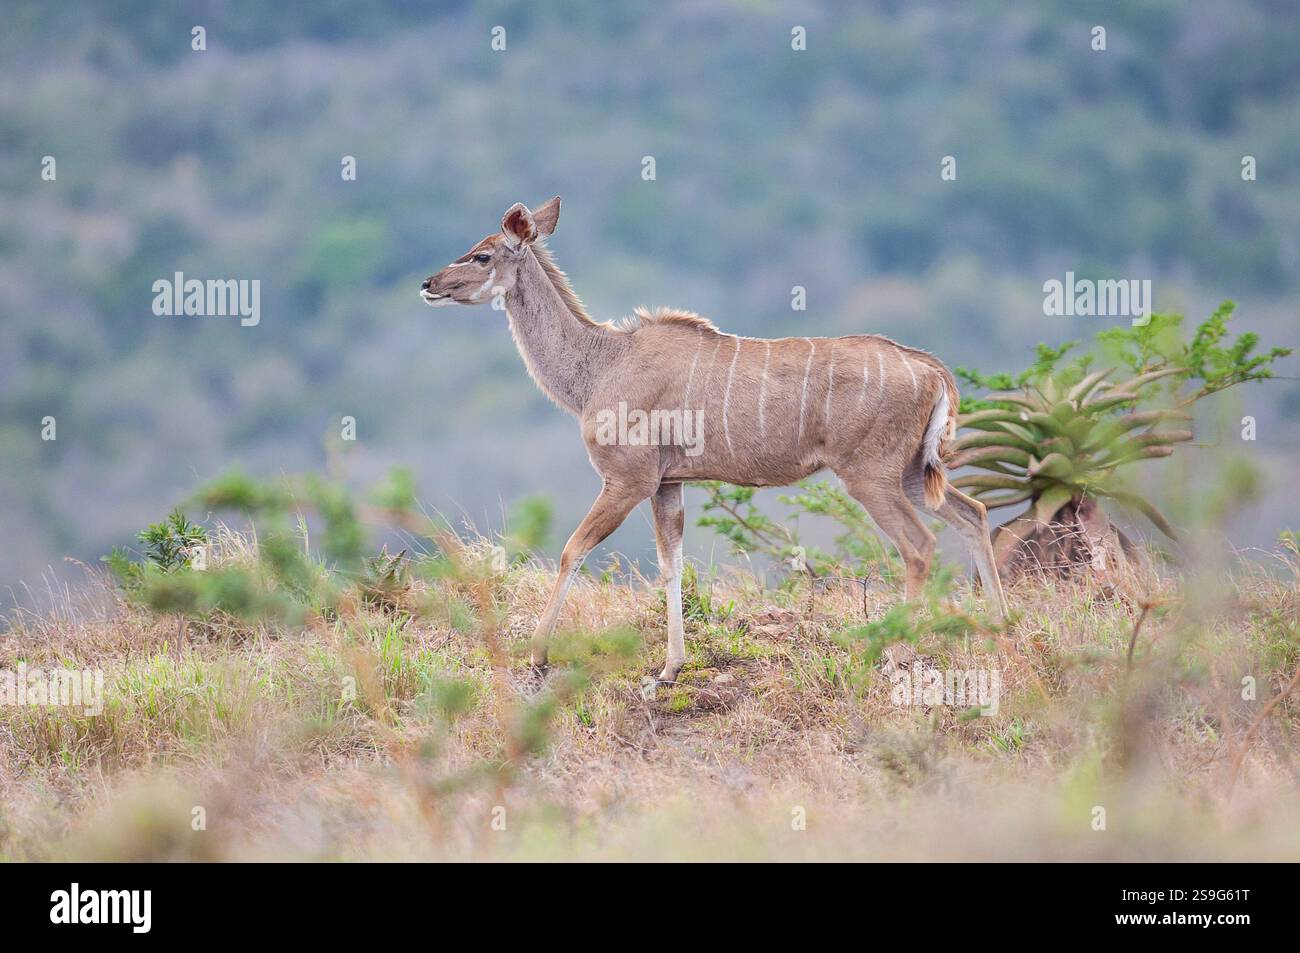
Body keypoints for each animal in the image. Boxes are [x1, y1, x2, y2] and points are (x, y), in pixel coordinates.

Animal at [421, 197, 1008, 683]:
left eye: (481, 255)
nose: (428, 283)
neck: (598, 366)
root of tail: (933, 372)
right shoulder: (667, 484)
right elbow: (671, 564)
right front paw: (669, 669)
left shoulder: (627, 479)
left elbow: (572, 550)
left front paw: (539, 656)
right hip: (909, 473)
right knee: (974, 513)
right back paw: (1001, 628)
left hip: (870, 474)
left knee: (920, 544)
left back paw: (898, 654)